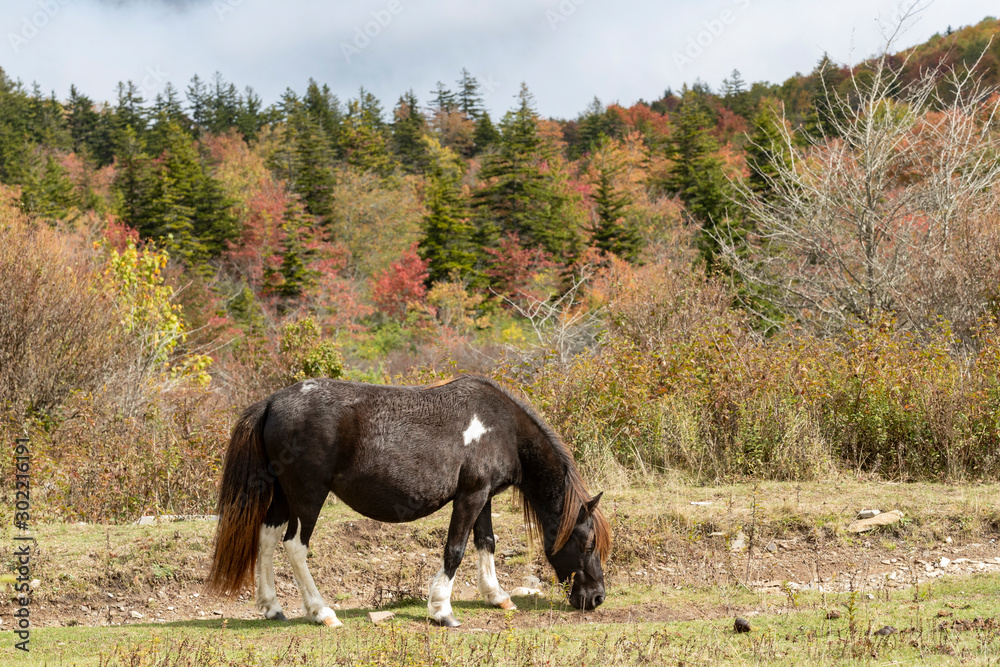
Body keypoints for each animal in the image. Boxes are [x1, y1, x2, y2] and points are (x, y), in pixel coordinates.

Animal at [206, 374, 610, 628]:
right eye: (587, 543)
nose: (596, 598)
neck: (501, 427)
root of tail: (272, 401)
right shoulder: (470, 496)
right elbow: (455, 550)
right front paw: (442, 611)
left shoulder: (483, 497)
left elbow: (486, 543)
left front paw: (497, 596)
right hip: (308, 497)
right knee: (294, 546)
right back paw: (322, 612)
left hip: (282, 497)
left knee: (267, 539)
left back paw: (272, 607)